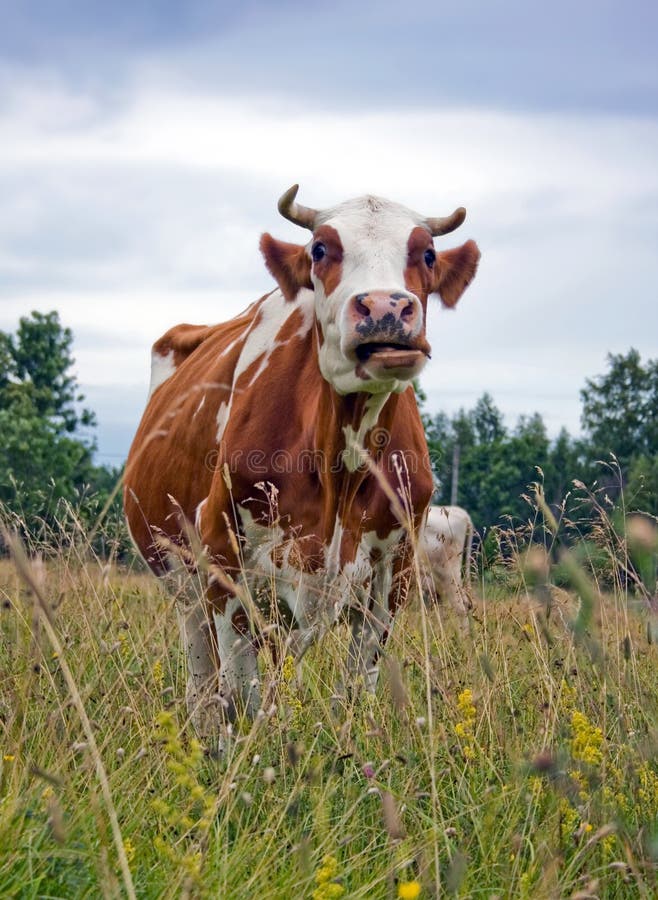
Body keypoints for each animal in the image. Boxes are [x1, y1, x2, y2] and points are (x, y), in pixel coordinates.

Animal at [124, 185, 480, 741]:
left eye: (427, 254)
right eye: (319, 249)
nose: (385, 307)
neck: (342, 467)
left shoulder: (394, 572)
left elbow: (355, 691)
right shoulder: (224, 558)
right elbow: (243, 698)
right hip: (184, 585)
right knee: (204, 681)